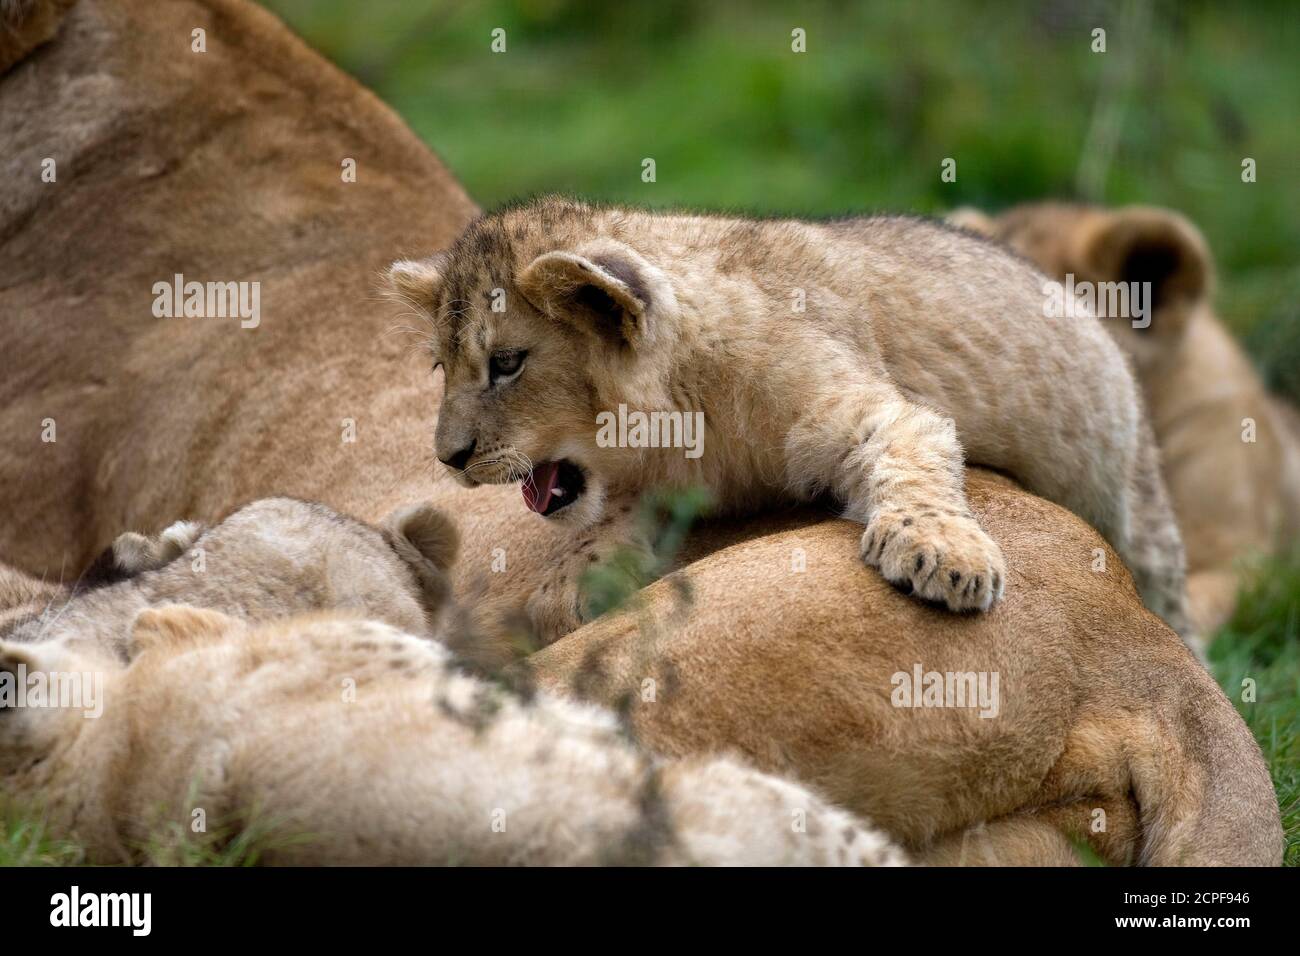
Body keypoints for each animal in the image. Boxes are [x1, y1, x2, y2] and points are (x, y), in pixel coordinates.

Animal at [386, 195, 1192, 644]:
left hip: (1139, 509)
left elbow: (912, 459)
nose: (449, 457)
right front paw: (572, 583)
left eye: (507, 363)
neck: (685, 420)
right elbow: (611, 517)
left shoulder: (868, 405)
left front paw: (944, 556)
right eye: (441, 368)